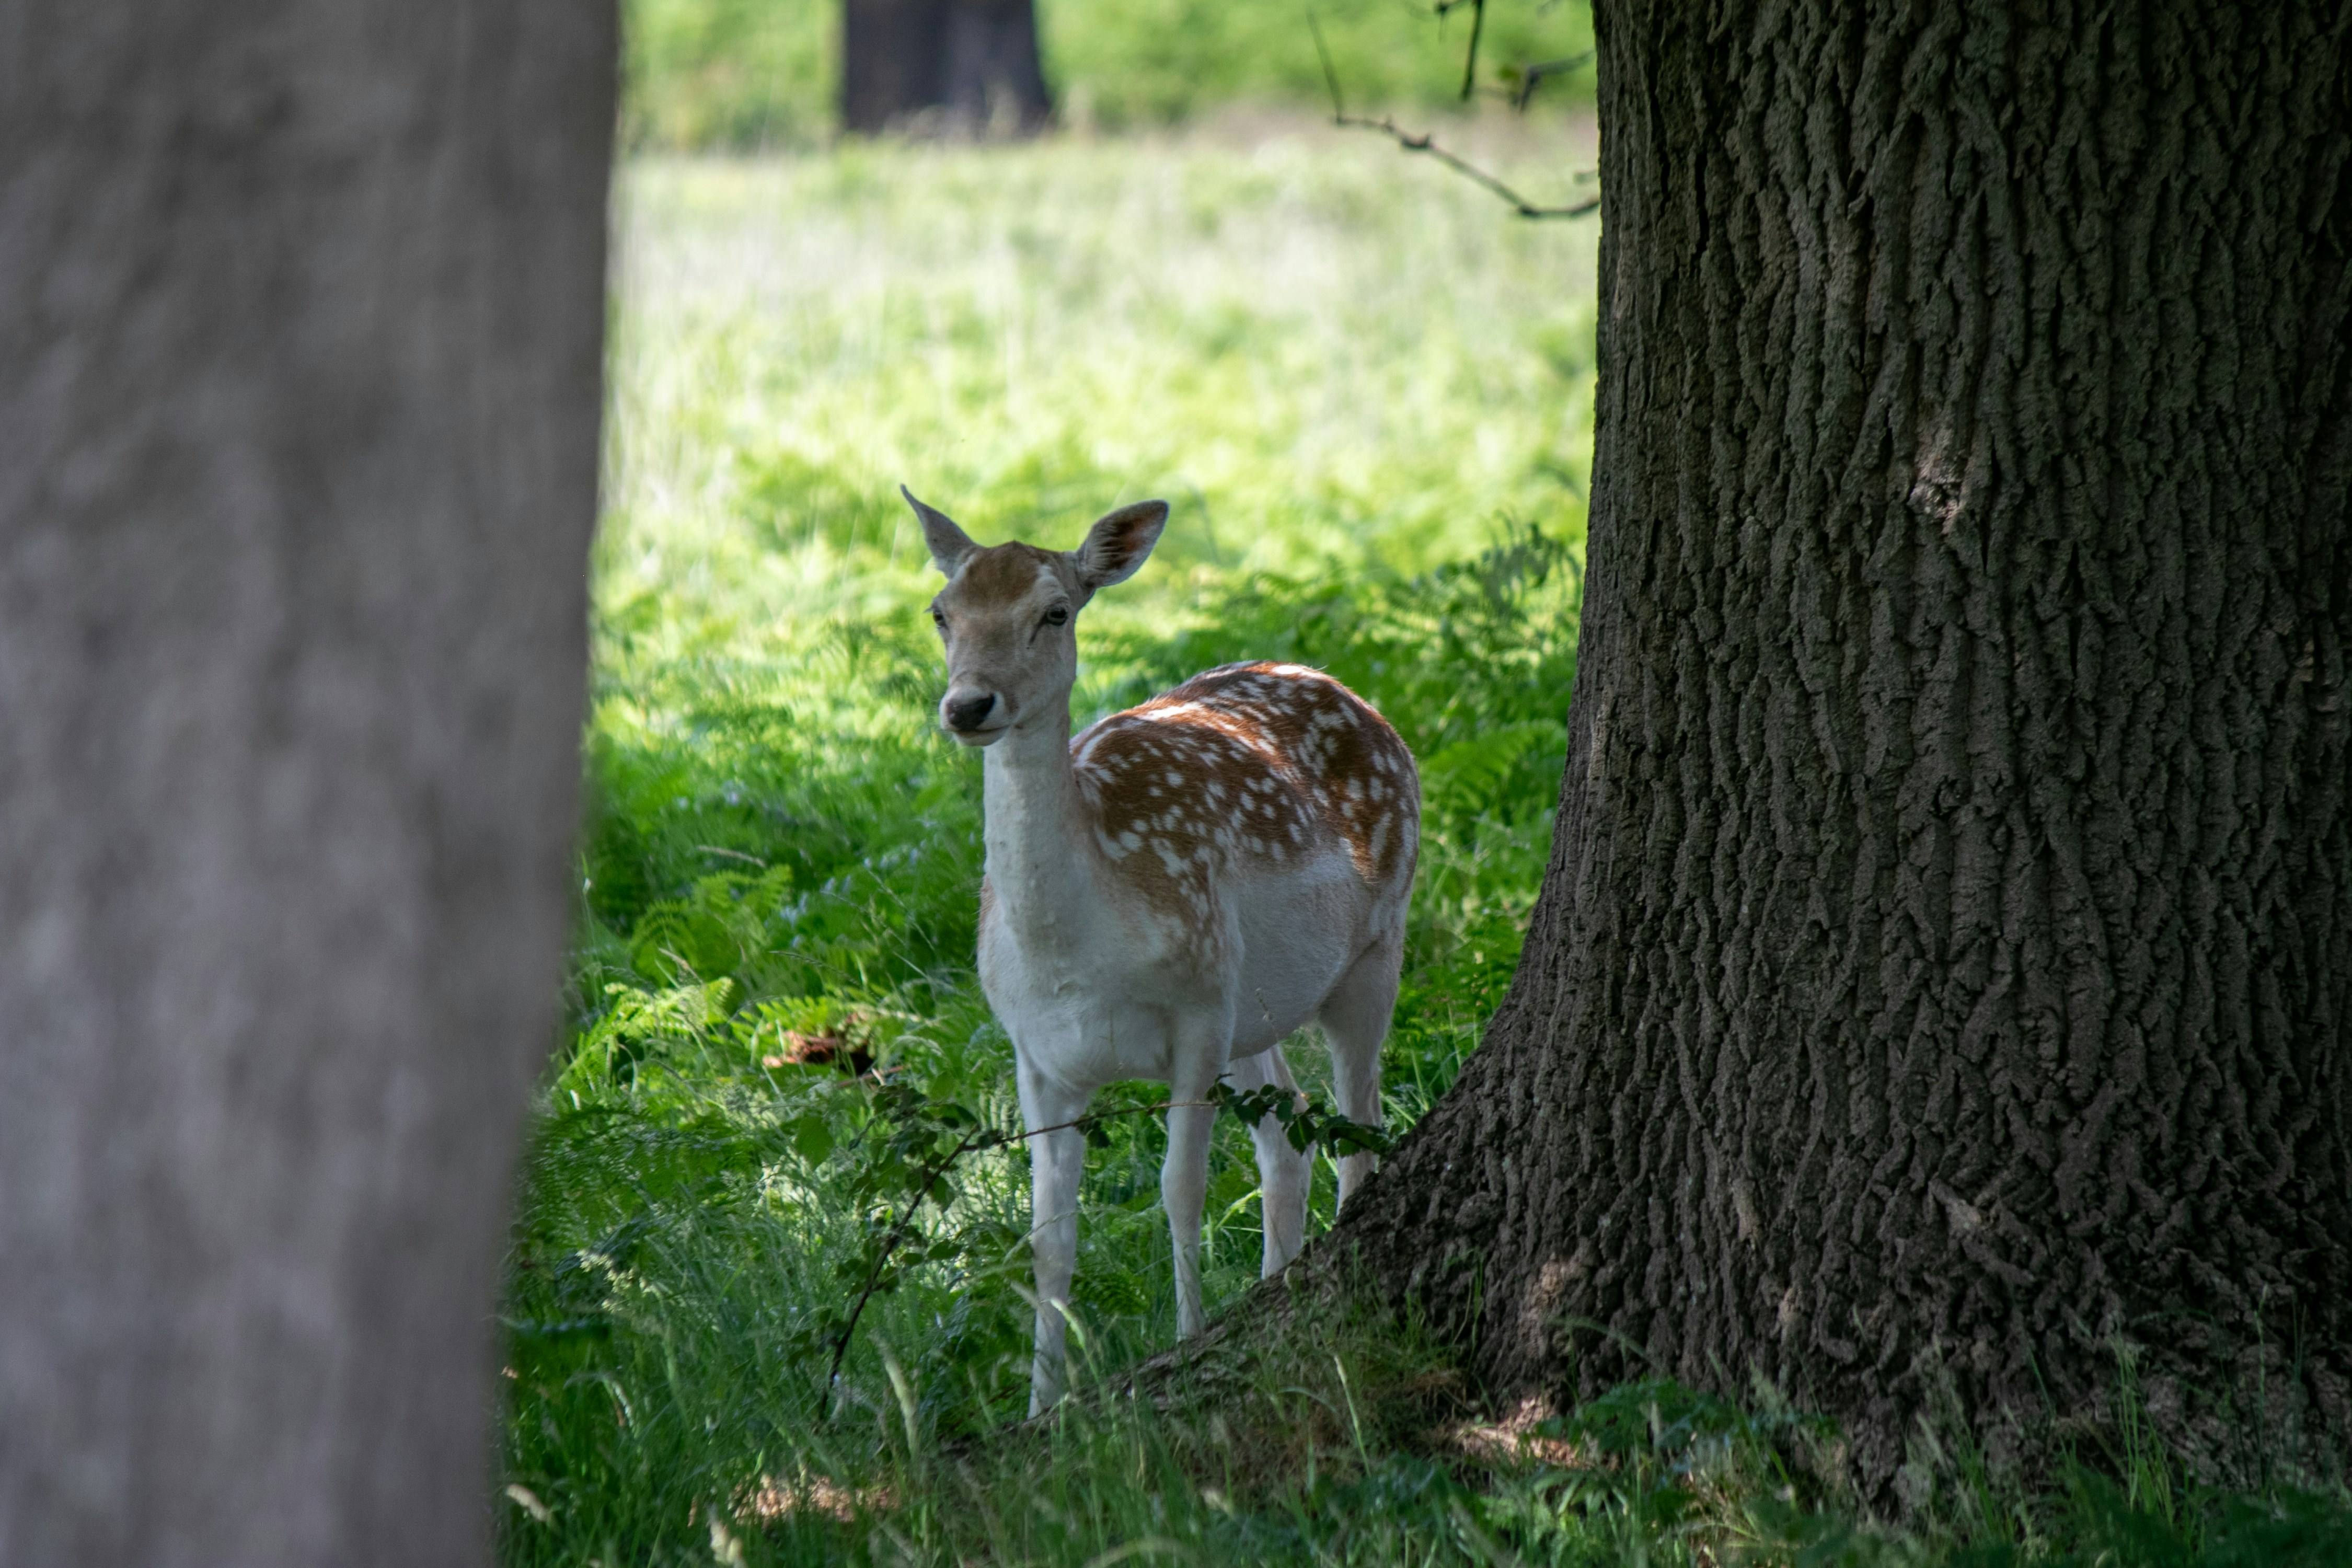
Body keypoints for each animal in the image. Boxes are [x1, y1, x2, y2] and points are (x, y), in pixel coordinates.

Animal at [903, 486, 1419, 1412]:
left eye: (1055, 611)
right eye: (941, 612)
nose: (969, 706)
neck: (1074, 959)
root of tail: (1354, 695)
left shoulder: (1196, 1011)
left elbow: (1180, 1191)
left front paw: (1186, 1342)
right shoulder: (1035, 1053)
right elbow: (1049, 1234)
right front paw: (1042, 1407)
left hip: (1371, 948)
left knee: (1357, 1124)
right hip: (1253, 1008)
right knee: (1289, 1138)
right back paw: (1275, 1285)